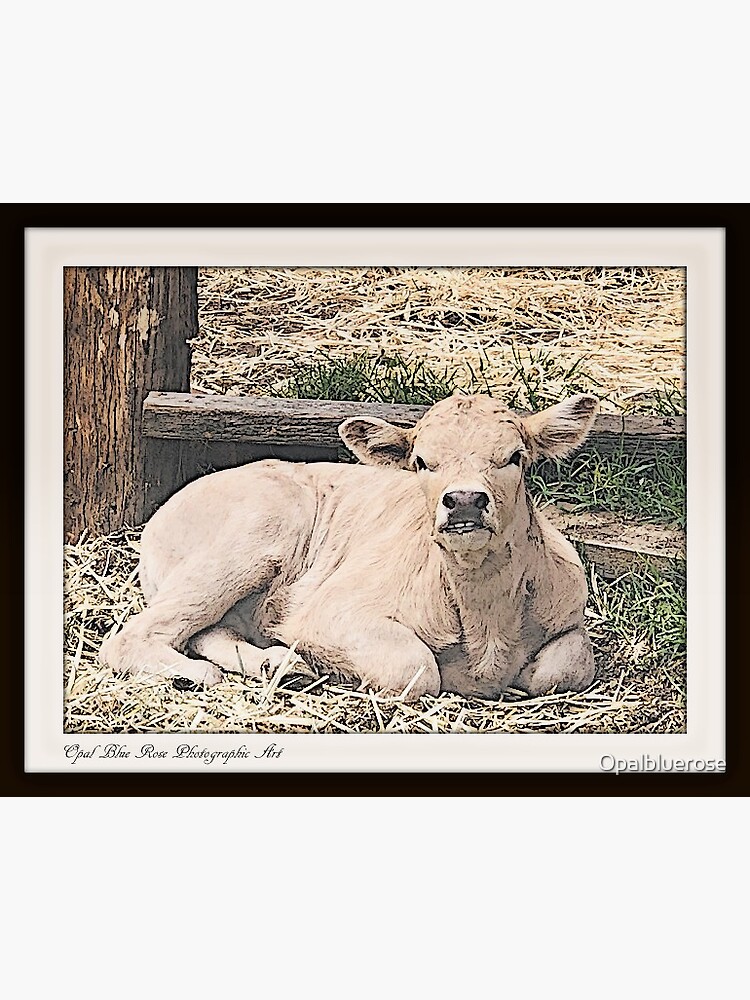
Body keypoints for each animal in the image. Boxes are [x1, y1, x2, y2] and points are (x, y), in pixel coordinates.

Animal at [100, 393, 600, 701]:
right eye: (422, 462)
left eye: (514, 457)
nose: (463, 501)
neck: (486, 622)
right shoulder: (329, 614)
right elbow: (413, 669)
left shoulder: (570, 616)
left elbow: (567, 666)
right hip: (255, 538)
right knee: (131, 636)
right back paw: (207, 673)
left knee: (206, 630)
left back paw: (279, 666)